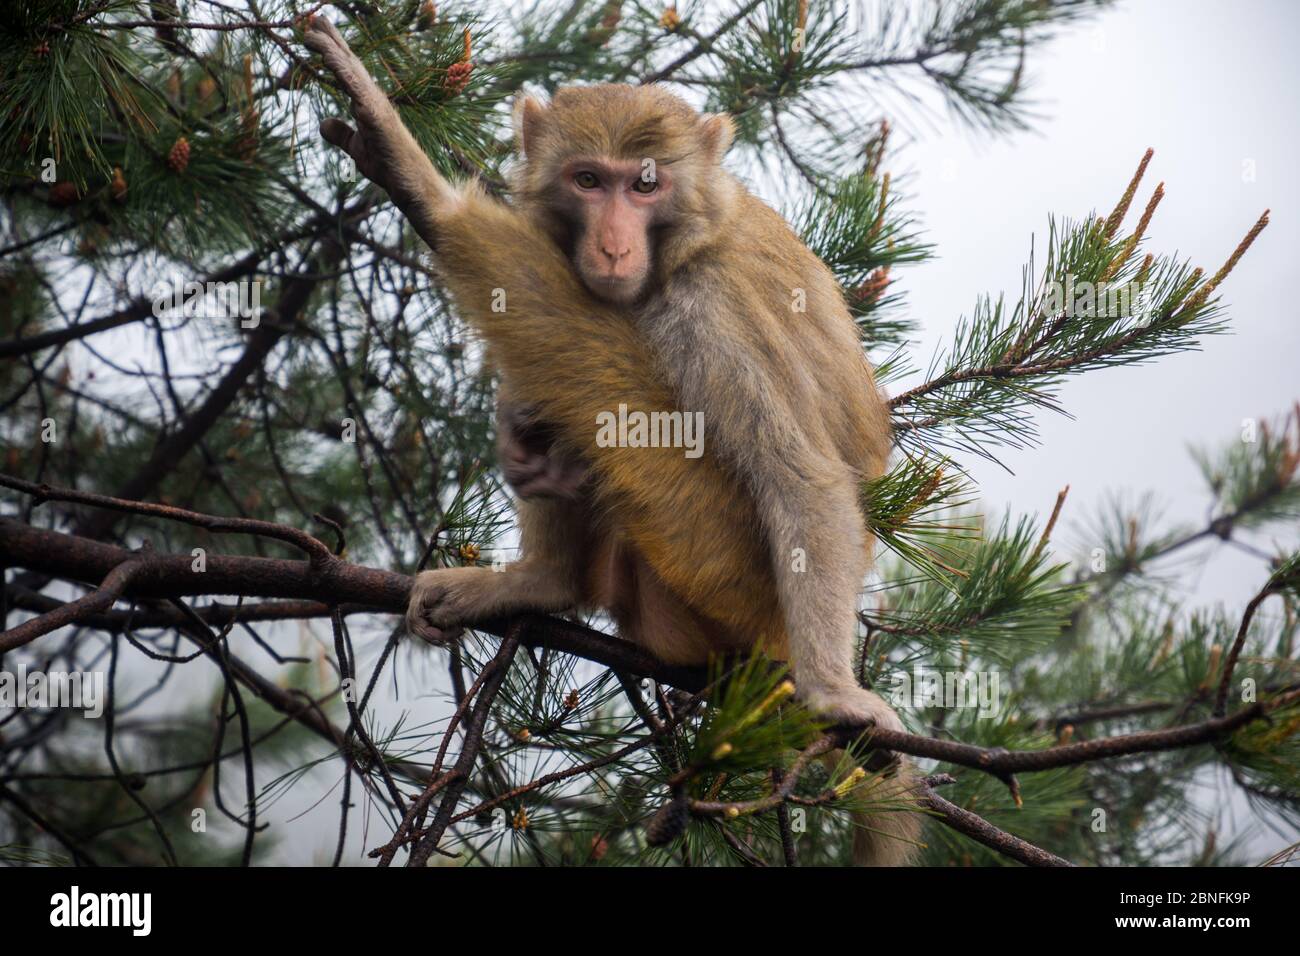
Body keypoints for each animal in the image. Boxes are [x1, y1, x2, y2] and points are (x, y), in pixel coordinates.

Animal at [302, 17, 921, 864]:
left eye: (646, 186)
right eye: (591, 181)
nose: (616, 245)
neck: (680, 253)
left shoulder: (714, 312)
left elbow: (800, 477)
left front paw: (837, 694)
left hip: (719, 576)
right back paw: (545, 578)